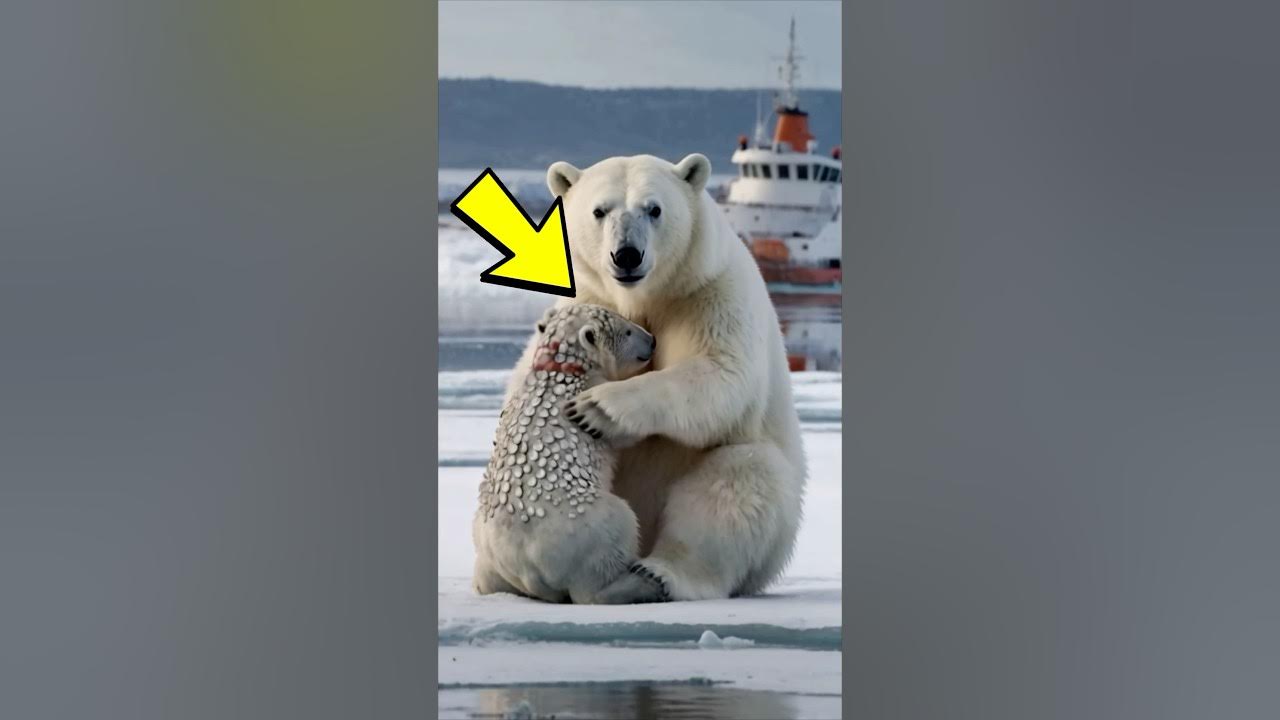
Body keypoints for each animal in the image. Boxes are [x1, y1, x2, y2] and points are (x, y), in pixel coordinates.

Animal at [473, 303, 660, 604]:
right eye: (627, 330)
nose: (652, 340)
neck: (560, 367)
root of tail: (530, 569)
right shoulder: (589, 389)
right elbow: (619, 431)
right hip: (586, 529)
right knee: (610, 545)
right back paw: (644, 583)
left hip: (489, 551)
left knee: (487, 578)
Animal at [502, 153, 807, 602]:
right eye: (599, 210)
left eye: (654, 209)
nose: (627, 255)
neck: (643, 298)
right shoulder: (586, 296)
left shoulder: (709, 293)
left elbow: (722, 374)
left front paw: (598, 408)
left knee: (739, 482)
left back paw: (657, 574)